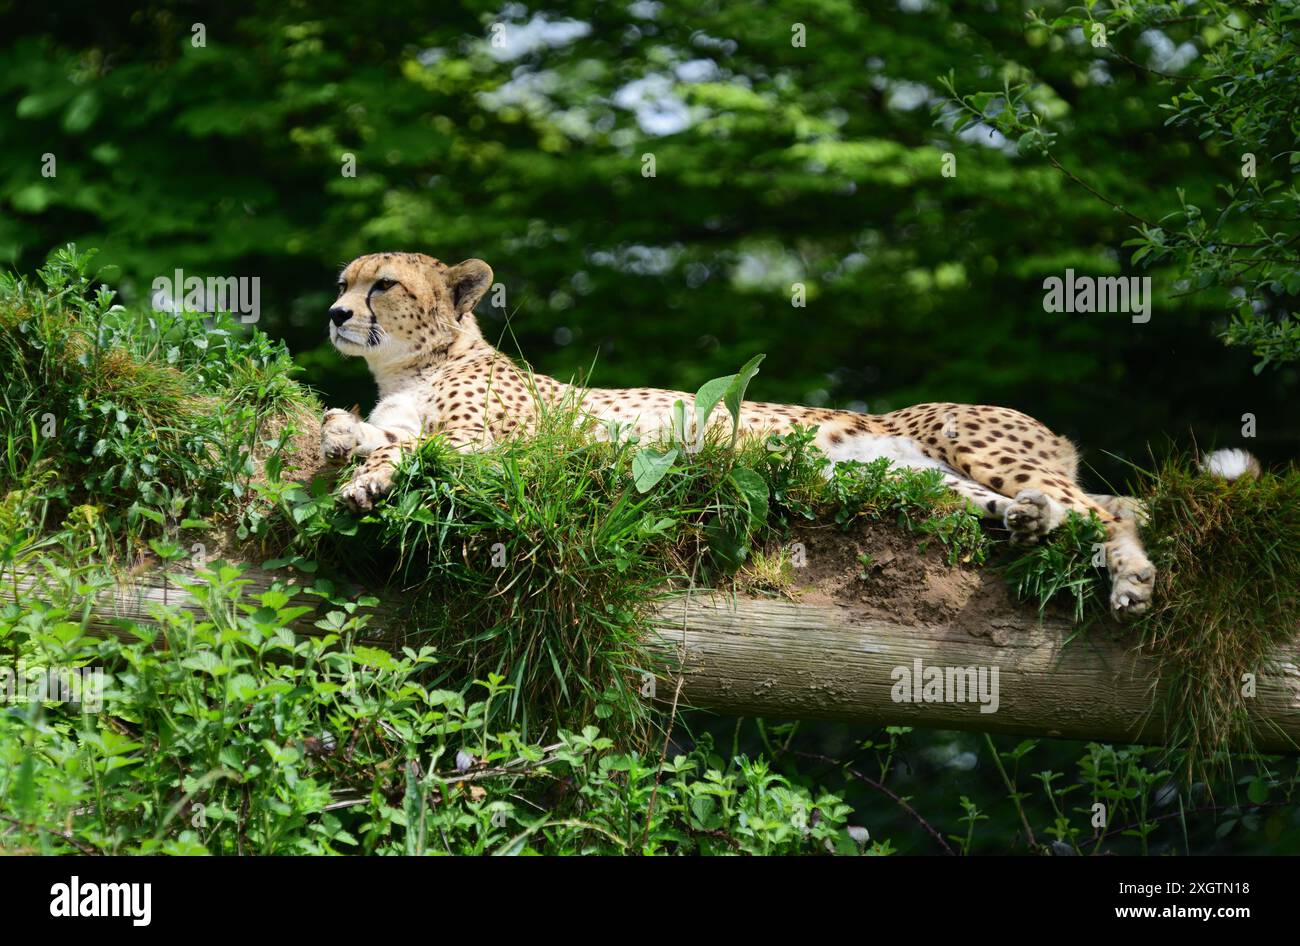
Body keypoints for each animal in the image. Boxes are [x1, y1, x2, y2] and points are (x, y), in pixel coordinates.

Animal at [317, 251, 1240, 620]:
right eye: (344, 279)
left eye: (383, 284)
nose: (331, 312)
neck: (411, 367)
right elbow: (360, 429)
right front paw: (341, 438)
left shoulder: (499, 449)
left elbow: (414, 448)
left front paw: (365, 476)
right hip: (920, 480)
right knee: (1054, 506)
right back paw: (1026, 523)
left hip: (972, 440)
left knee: (1113, 506)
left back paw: (1130, 581)